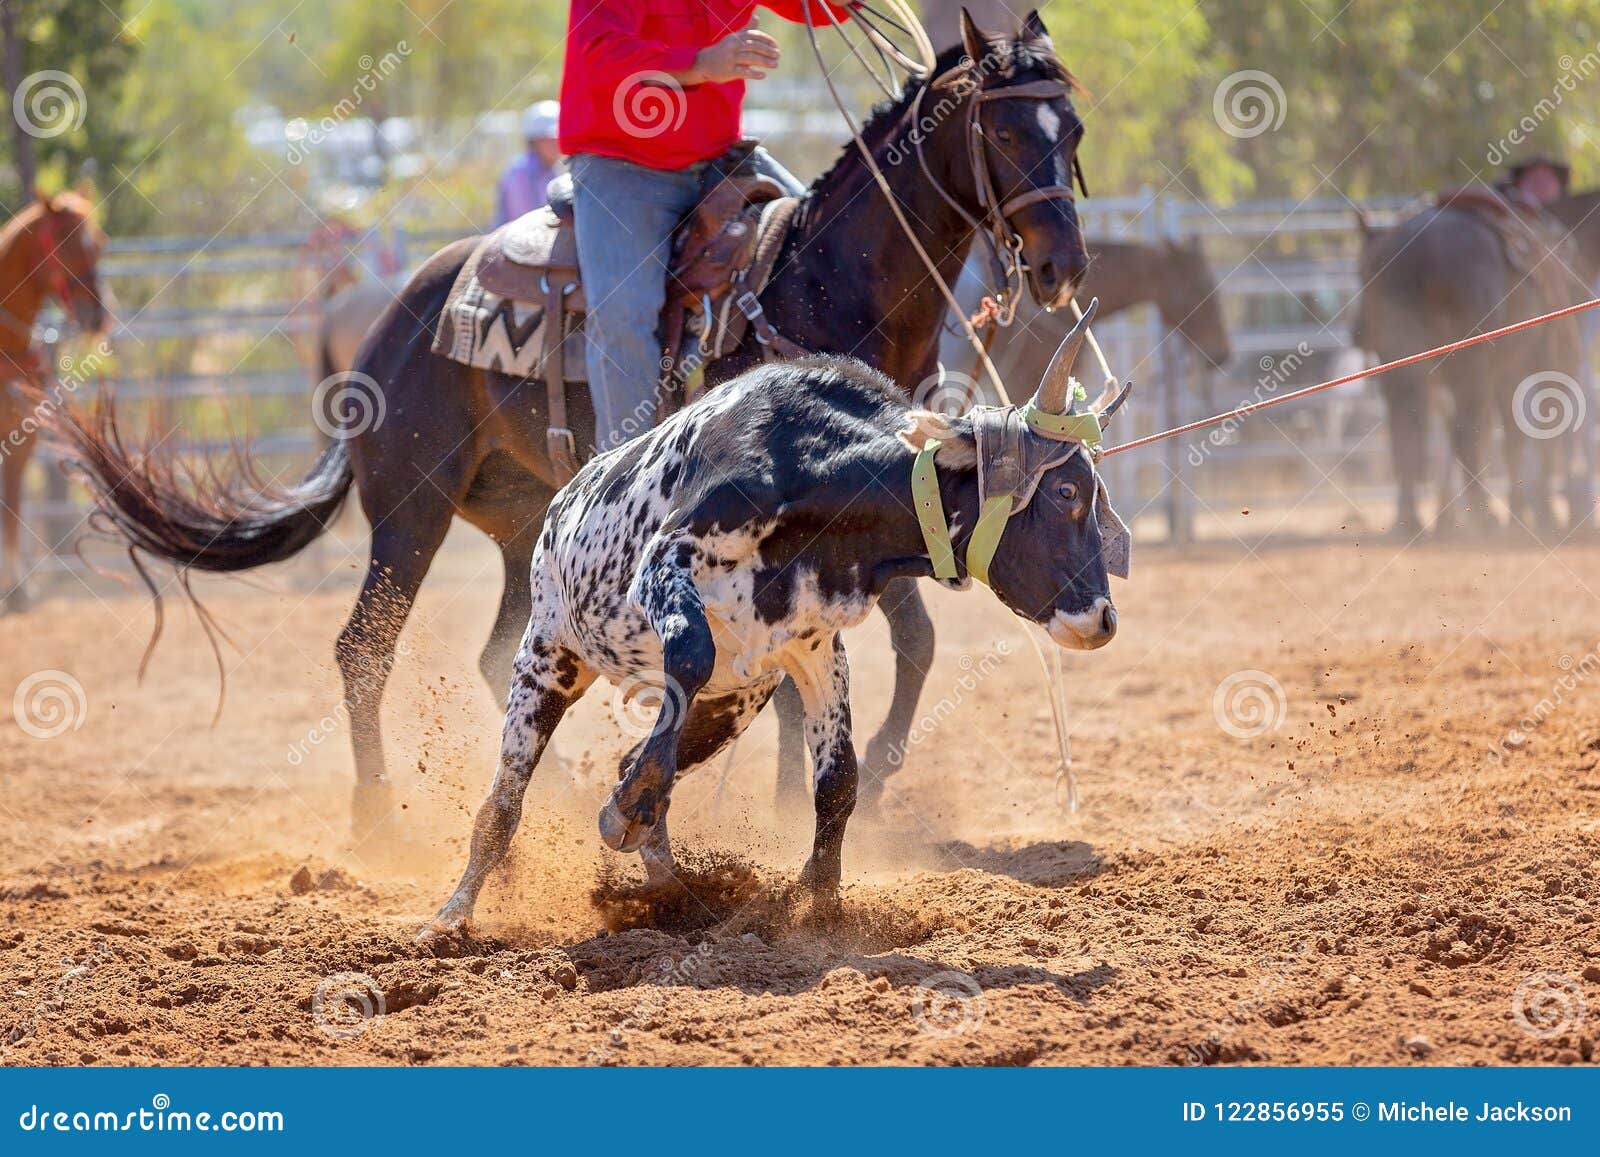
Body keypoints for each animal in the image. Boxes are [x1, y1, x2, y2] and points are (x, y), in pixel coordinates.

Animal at [423, 302, 1130, 937]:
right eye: (1067, 492)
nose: (1103, 619)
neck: (810, 469)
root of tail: (560, 504)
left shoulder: (814, 649)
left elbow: (840, 777)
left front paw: (819, 903)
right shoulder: (666, 563)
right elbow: (690, 654)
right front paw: (626, 810)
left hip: (735, 702)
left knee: (639, 753)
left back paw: (671, 892)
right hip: (548, 658)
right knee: (502, 804)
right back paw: (453, 916)